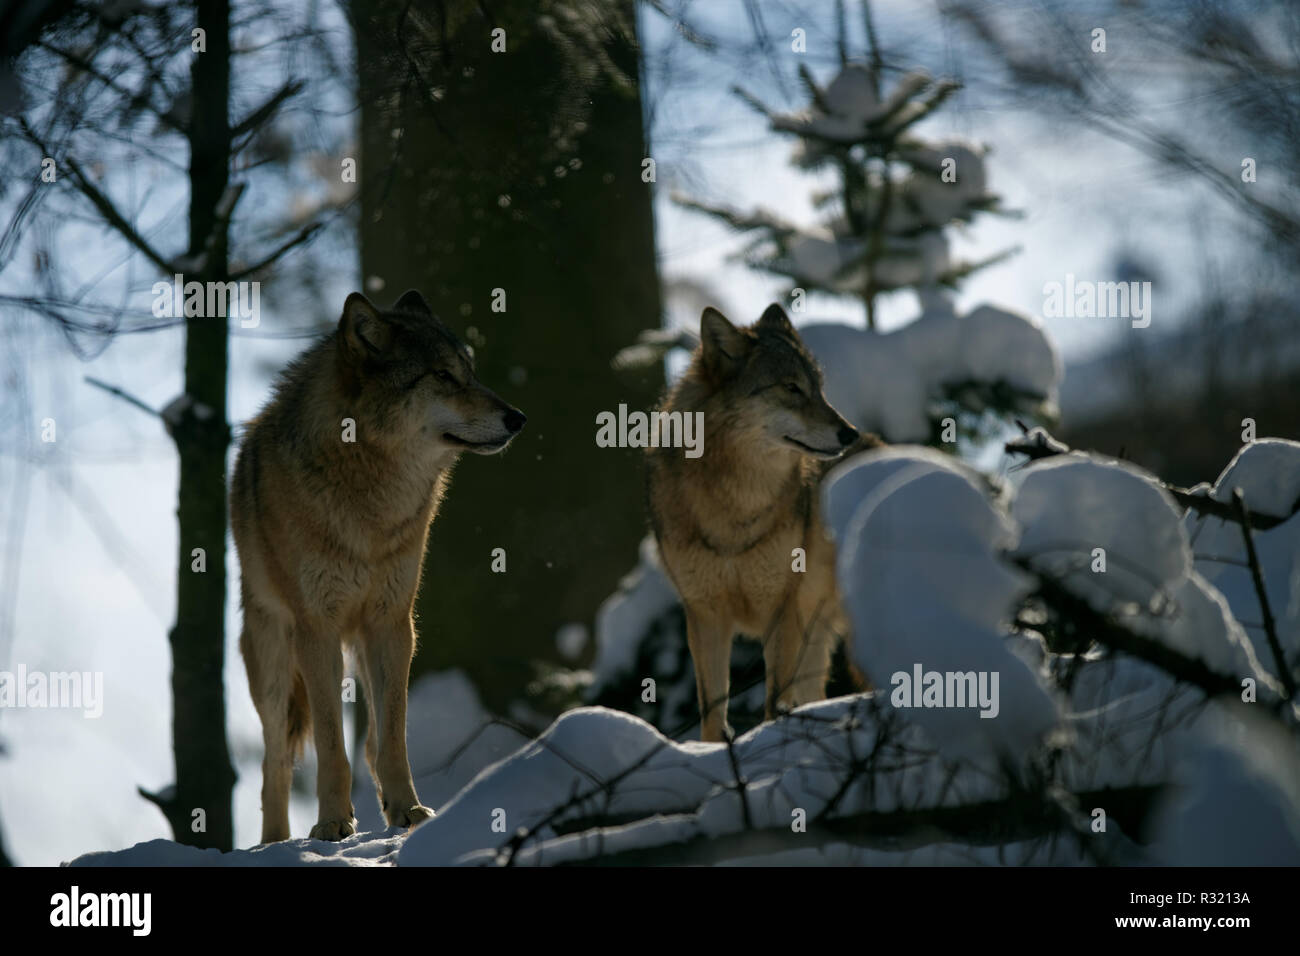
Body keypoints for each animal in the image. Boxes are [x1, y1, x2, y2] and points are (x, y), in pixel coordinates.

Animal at [231, 289, 526, 842]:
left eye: (470, 373)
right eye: (442, 375)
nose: (518, 418)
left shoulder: (392, 622)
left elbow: (392, 739)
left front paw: (407, 810)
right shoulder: (317, 629)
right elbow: (329, 743)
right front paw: (330, 822)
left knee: (367, 744)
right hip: (273, 658)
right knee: (274, 762)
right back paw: (275, 840)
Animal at [646, 303, 880, 742]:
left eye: (818, 388)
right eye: (791, 388)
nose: (849, 433)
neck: (735, 504)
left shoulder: (781, 607)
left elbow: (773, 703)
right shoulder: (704, 615)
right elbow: (712, 712)